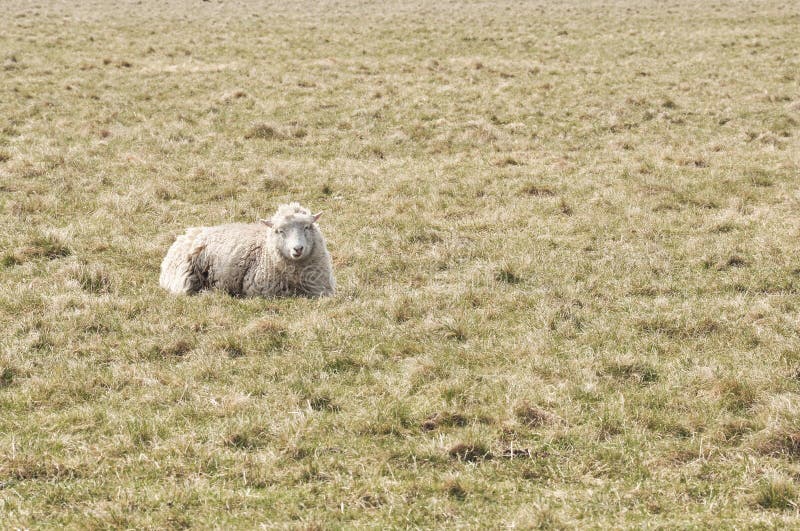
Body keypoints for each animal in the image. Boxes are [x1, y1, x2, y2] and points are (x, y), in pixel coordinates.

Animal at [159, 202, 335, 297]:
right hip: (185, 278)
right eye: (280, 231)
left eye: (307, 227)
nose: (298, 249)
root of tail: (184, 236)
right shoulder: (262, 289)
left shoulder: (322, 288)